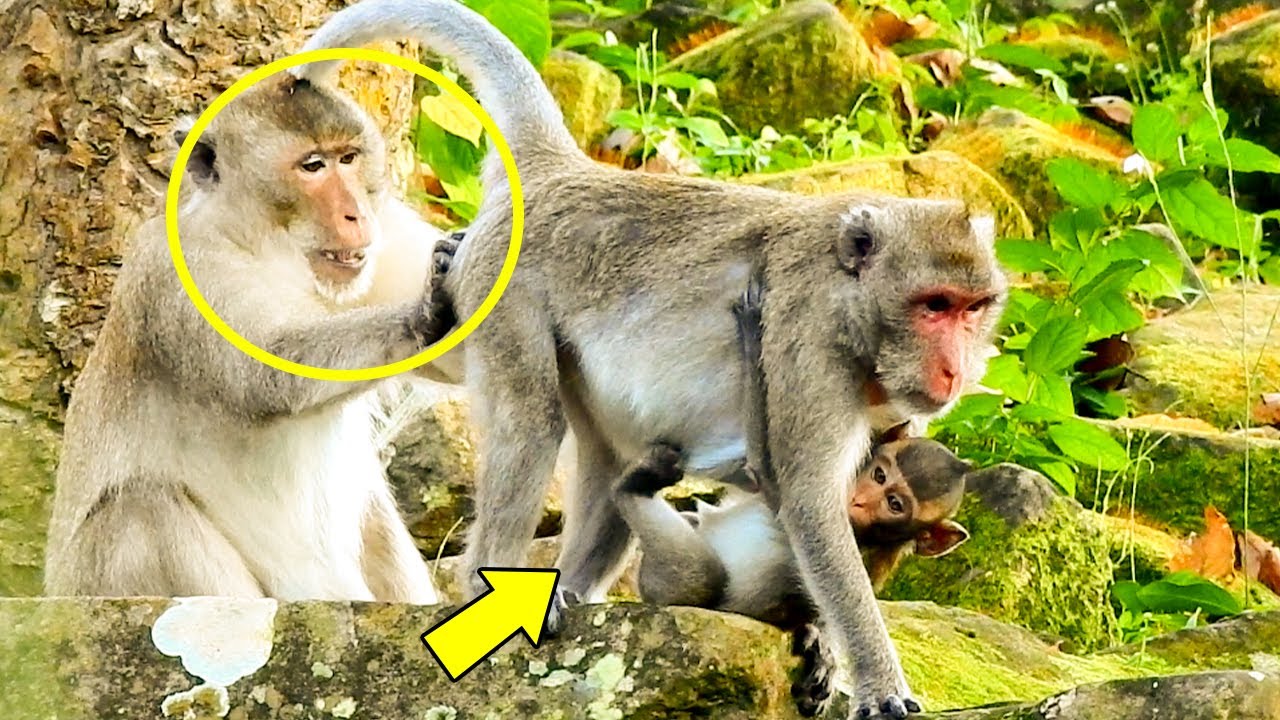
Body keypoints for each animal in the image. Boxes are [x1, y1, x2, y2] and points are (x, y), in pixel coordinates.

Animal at [43, 72, 458, 605]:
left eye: (348, 158)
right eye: (312, 166)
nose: (357, 215)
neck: (266, 249)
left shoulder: (388, 238)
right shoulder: (180, 271)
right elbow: (270, 374)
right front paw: (429, 310)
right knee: (138, 513)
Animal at [612, 278, 971, 716]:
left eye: (895, 504)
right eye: (879, 474)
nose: (857, 501)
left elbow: (769, 477)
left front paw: (754, 334)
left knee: (698, 577)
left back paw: (635, 484)